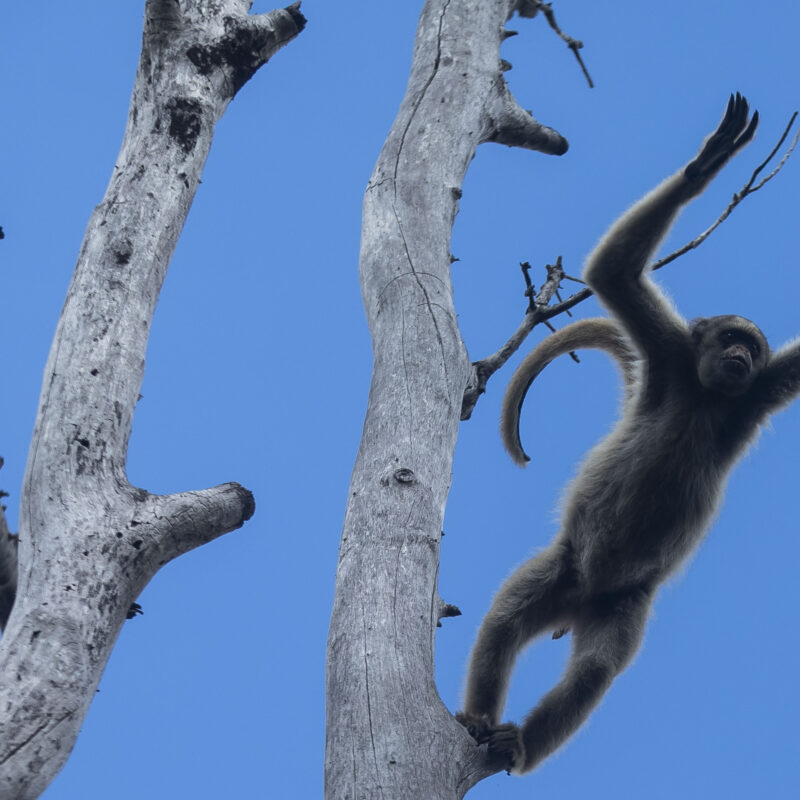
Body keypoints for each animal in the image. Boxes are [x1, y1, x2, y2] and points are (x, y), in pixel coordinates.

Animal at [456, 94, 800, 774]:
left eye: (751, 349)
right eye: (731, 339)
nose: (739, 358)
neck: (706, 395)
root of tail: (579, 599)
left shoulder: (757, 392)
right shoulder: (670, 355)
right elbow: (611, 274)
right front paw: (707, 163)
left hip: (622, 603)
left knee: (593, 672)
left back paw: (520, 742)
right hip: (565, 570)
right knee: (508, 615)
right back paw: (483, 718)